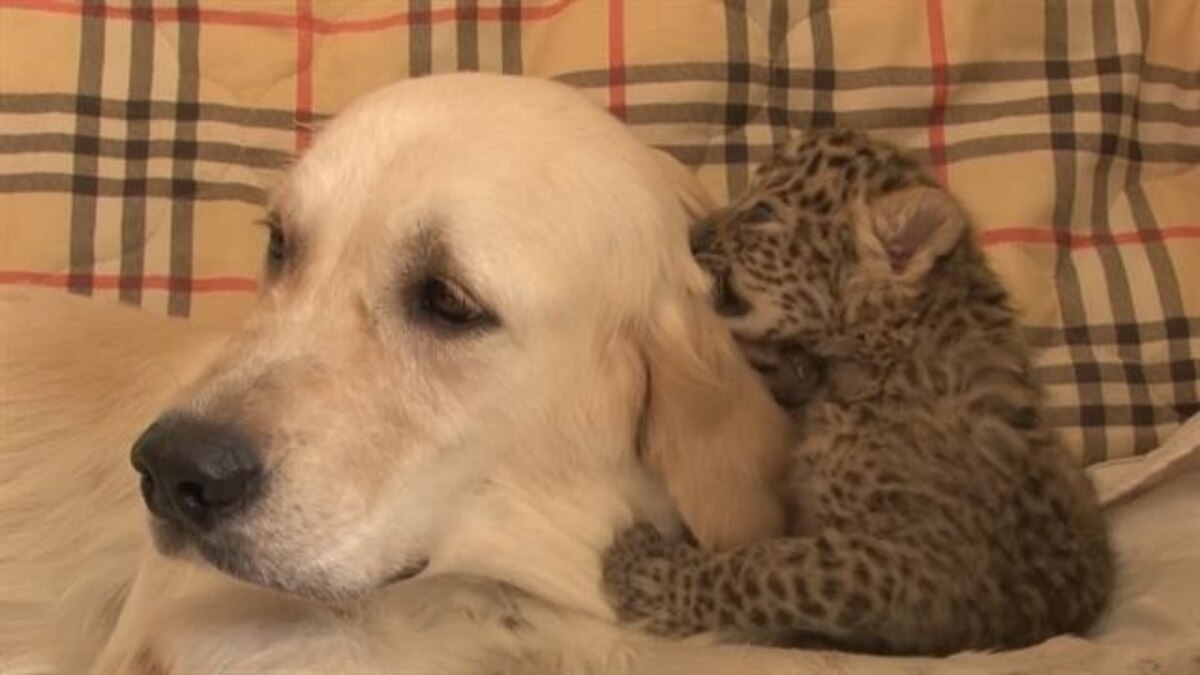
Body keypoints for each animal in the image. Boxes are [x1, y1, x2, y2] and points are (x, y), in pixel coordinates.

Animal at [603, 129, 1114, 655]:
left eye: (762, 212)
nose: (689, 235)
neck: (891, 357)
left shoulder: (906, 566)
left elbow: (771, 572)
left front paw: (648, 571)